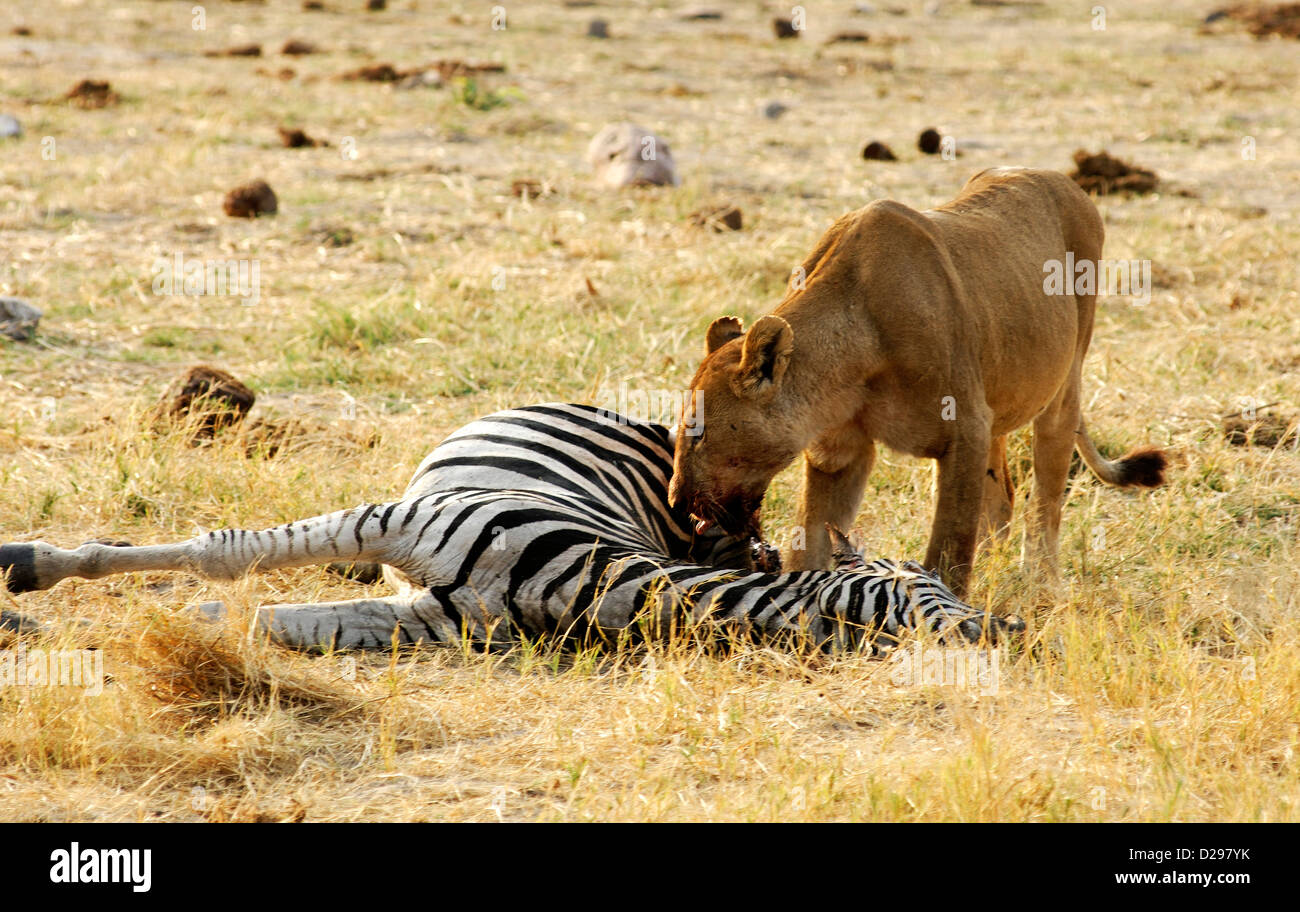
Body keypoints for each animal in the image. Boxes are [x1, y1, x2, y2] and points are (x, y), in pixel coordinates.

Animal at [667, 167, 1166, 596]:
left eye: (698, 434)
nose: (676, 500)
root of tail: (1059, 177)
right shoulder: (839, 451)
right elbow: (809, 542)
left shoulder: (965, 429)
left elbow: (949, 547)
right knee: (1002, 495)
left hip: (1064, 383)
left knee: (1045, 498)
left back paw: (1040, 583)